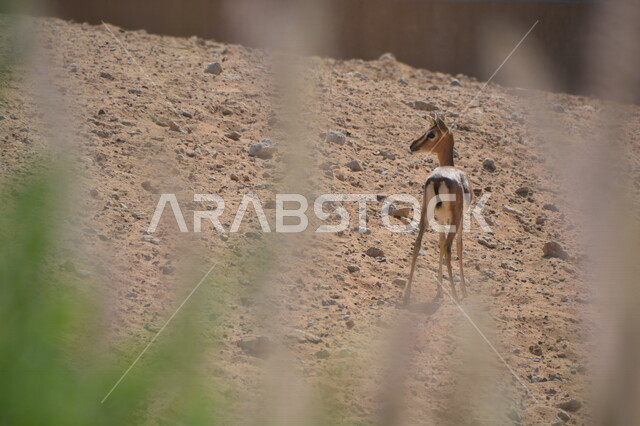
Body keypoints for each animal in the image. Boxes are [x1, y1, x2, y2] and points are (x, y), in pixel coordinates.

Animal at [403, 115, 472, 305]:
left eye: (431, 134)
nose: (412, 146)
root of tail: (438, 179)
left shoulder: (440, 219)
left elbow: (439, 243)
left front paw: (439, 290)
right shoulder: (461, 219)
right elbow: (459, 246)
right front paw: (463, 290)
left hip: (425, 214)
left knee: (418, 243)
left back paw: (407, 294)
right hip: (454, 219)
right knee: (449, 247)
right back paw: (455, 295)